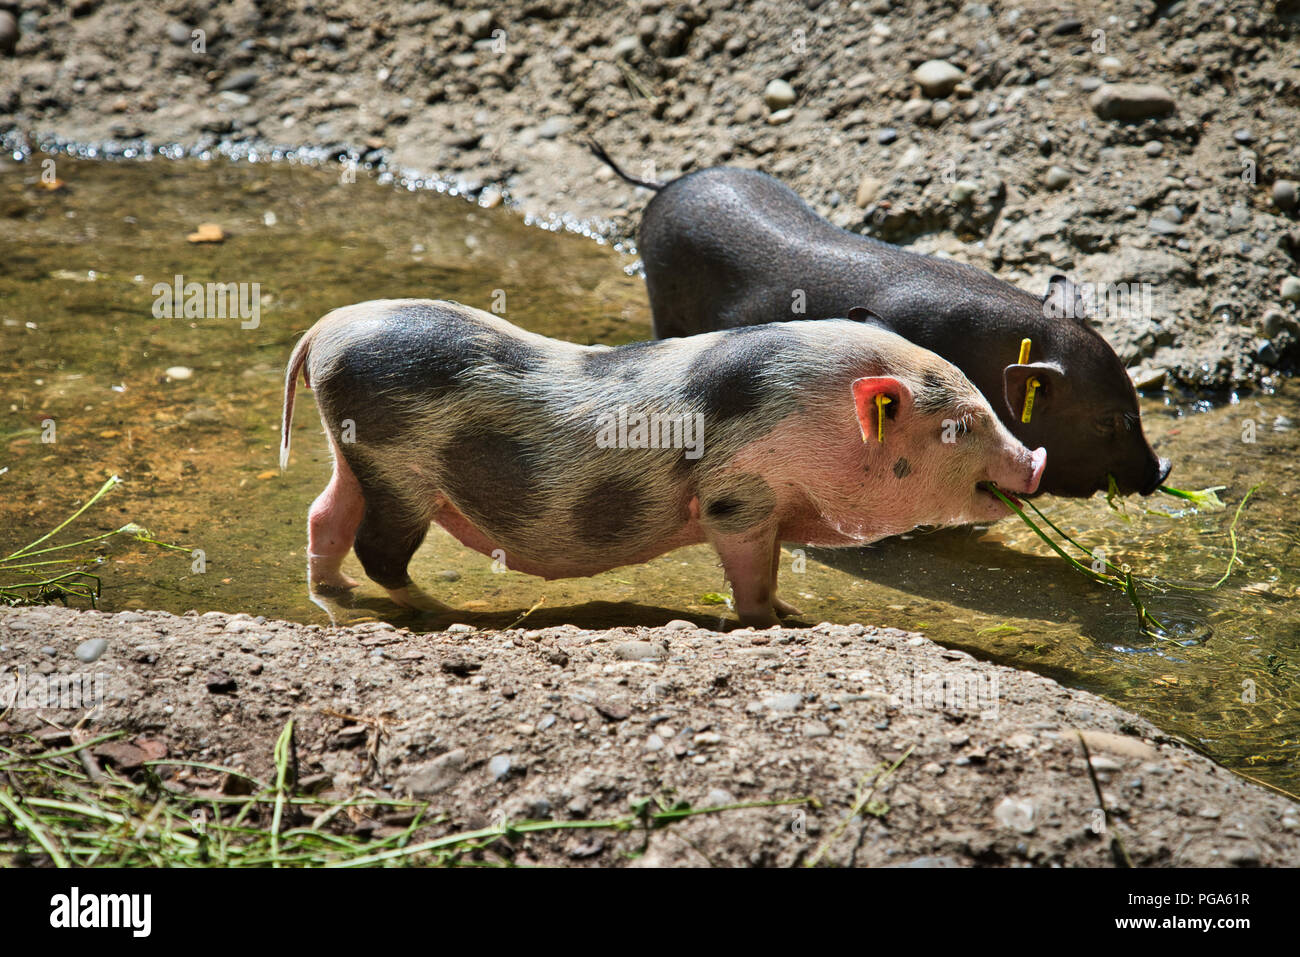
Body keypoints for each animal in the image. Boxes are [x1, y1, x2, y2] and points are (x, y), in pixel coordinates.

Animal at [280, 299, 1046, 627]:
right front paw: (776, 622)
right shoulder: (739, 498)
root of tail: (325, 329)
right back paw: (448, 611)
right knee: (380, 548)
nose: (1036, 461)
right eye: (957, 427)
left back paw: (336, 592)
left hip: (354, 453)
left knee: (324, 514)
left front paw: (793, 610)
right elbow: (748, 571)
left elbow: (772, 567)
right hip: (399, 470)